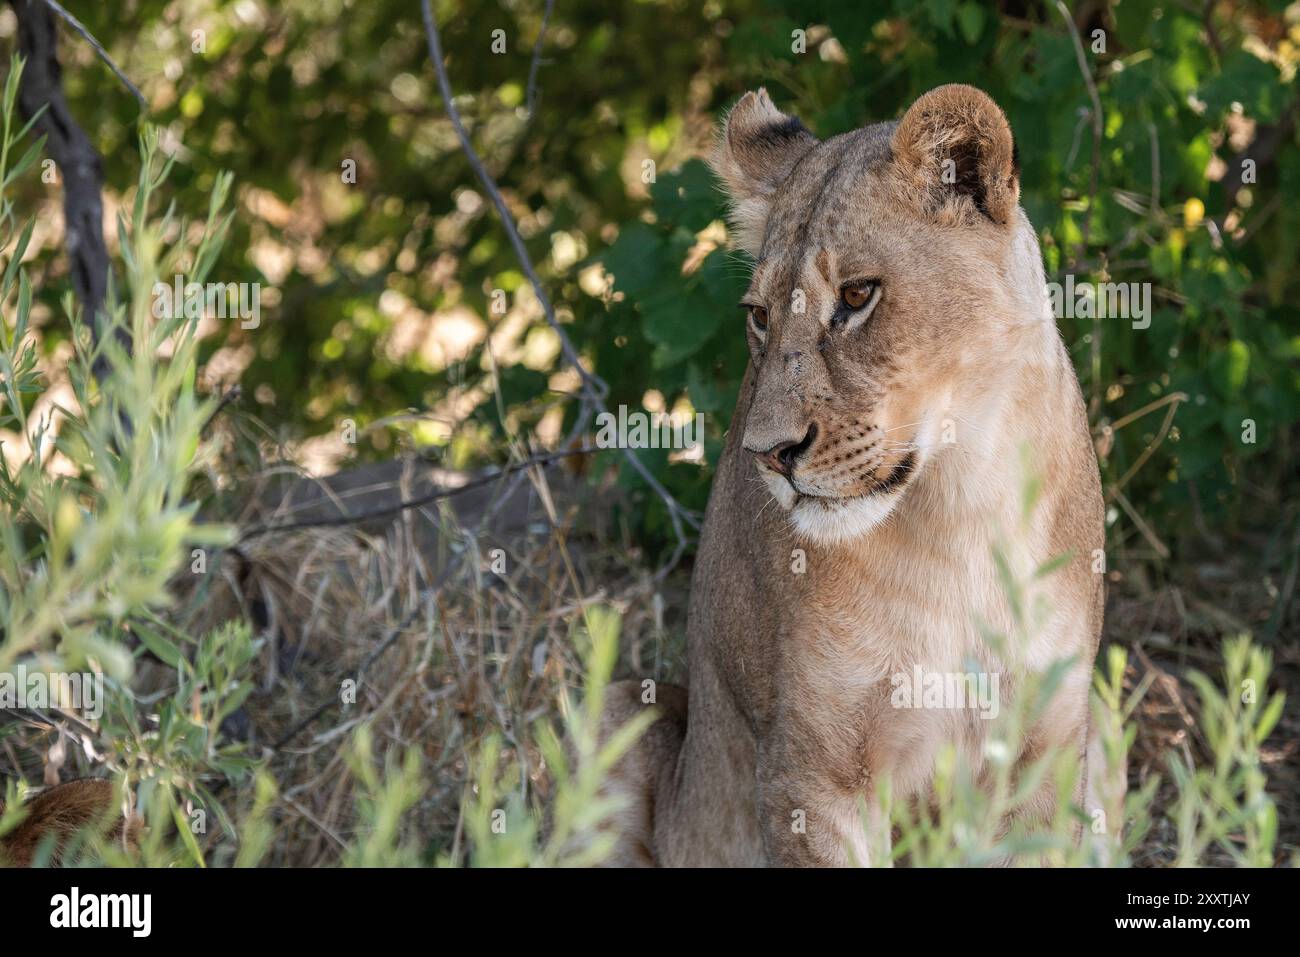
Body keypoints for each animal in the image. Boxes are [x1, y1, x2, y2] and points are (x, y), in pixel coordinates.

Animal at [595, 84, 1108, 866]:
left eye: (859, 295)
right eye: (759, 317)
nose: (769, 453)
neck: (965, 501)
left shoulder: (1046, 751)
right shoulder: (815, 770)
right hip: (622, 706)